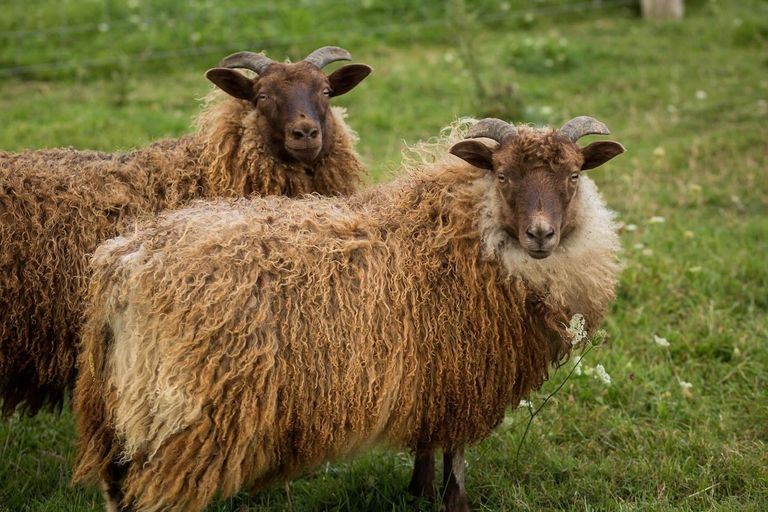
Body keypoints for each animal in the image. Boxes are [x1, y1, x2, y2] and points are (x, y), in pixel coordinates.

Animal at [72, 116, 625, 512]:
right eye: (504, 174)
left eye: (574, 175)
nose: (541, 234)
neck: (467, 233)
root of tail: (126, 263)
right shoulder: (460, 376)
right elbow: (455, 453)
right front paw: (454, 501)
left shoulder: (429, 377)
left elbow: (427, 444)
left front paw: (418, 491)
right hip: (187, 420)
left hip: (114, 411)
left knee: (117, 486)